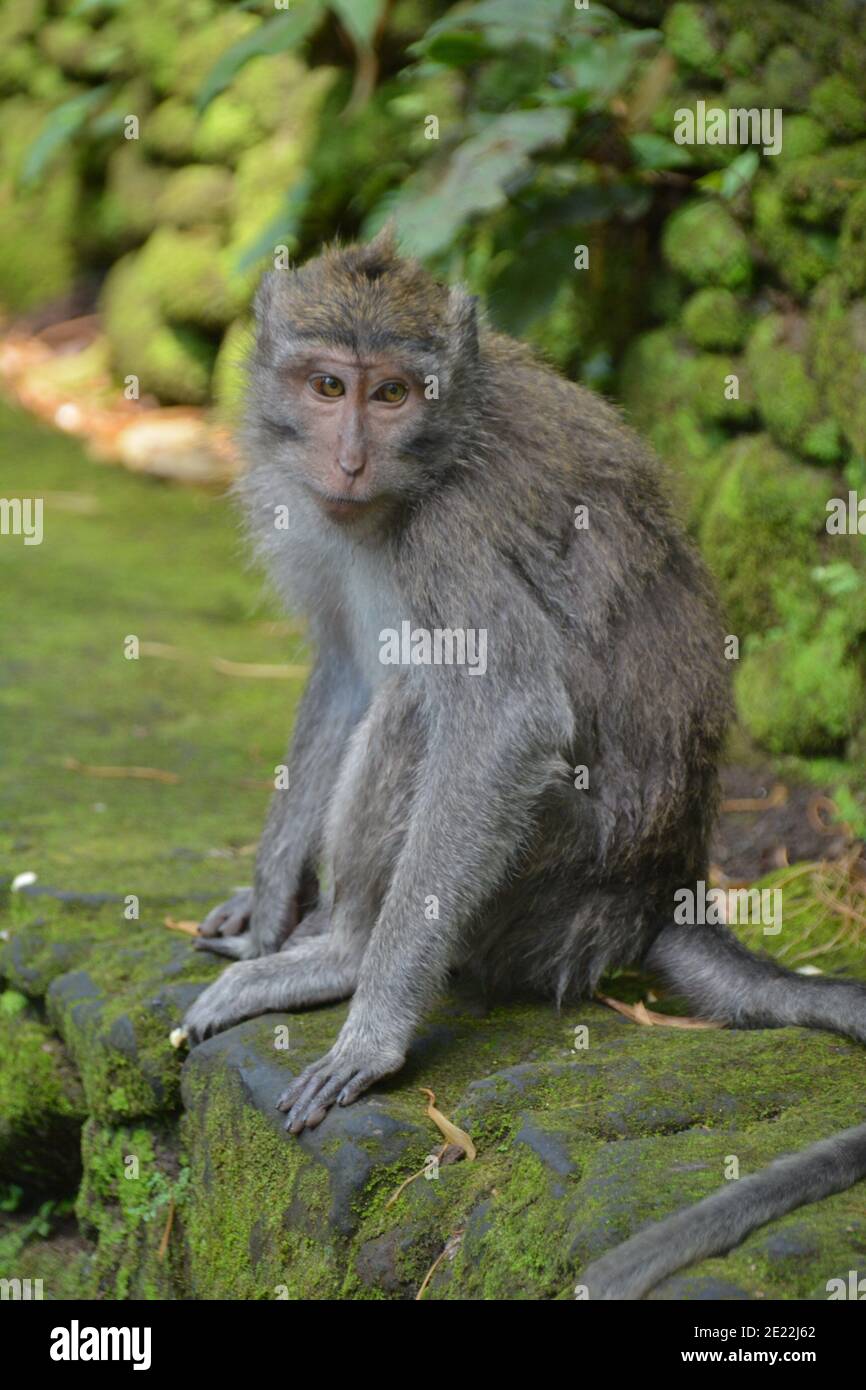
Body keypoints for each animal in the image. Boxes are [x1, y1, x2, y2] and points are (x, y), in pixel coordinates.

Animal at [182, 229, 866, 1298]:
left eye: (393, 395)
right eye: (329, 385)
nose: (349, 458)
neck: (416, 475)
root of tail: (661, 883)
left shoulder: (453, 536)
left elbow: (503, 718)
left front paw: (373, 1028)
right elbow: (342, 667)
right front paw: (266, 901)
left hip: (554, 875)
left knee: (424, 697)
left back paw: (345, 955)